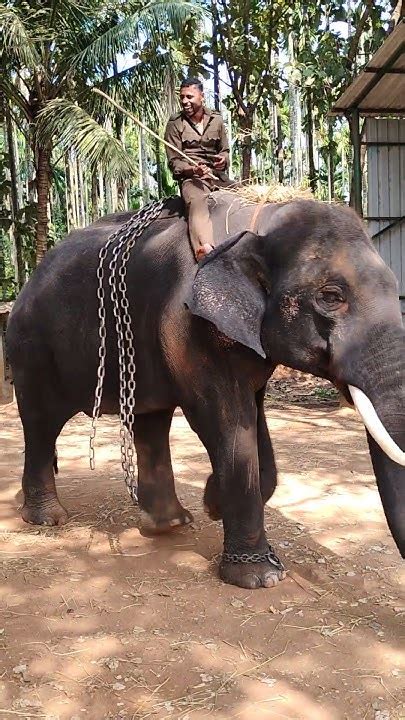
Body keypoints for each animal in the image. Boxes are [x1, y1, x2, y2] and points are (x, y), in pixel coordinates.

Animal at [6, 191, 405, 589]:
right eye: (331, 296)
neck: (263, 217)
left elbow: (253, 420)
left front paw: (214, 503)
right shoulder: (191, 329)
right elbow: (224, 421)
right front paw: (259, 577)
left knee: (150, 422)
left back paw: (167, 525)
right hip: (31, 347)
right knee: (41, 422)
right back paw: (49, 518)